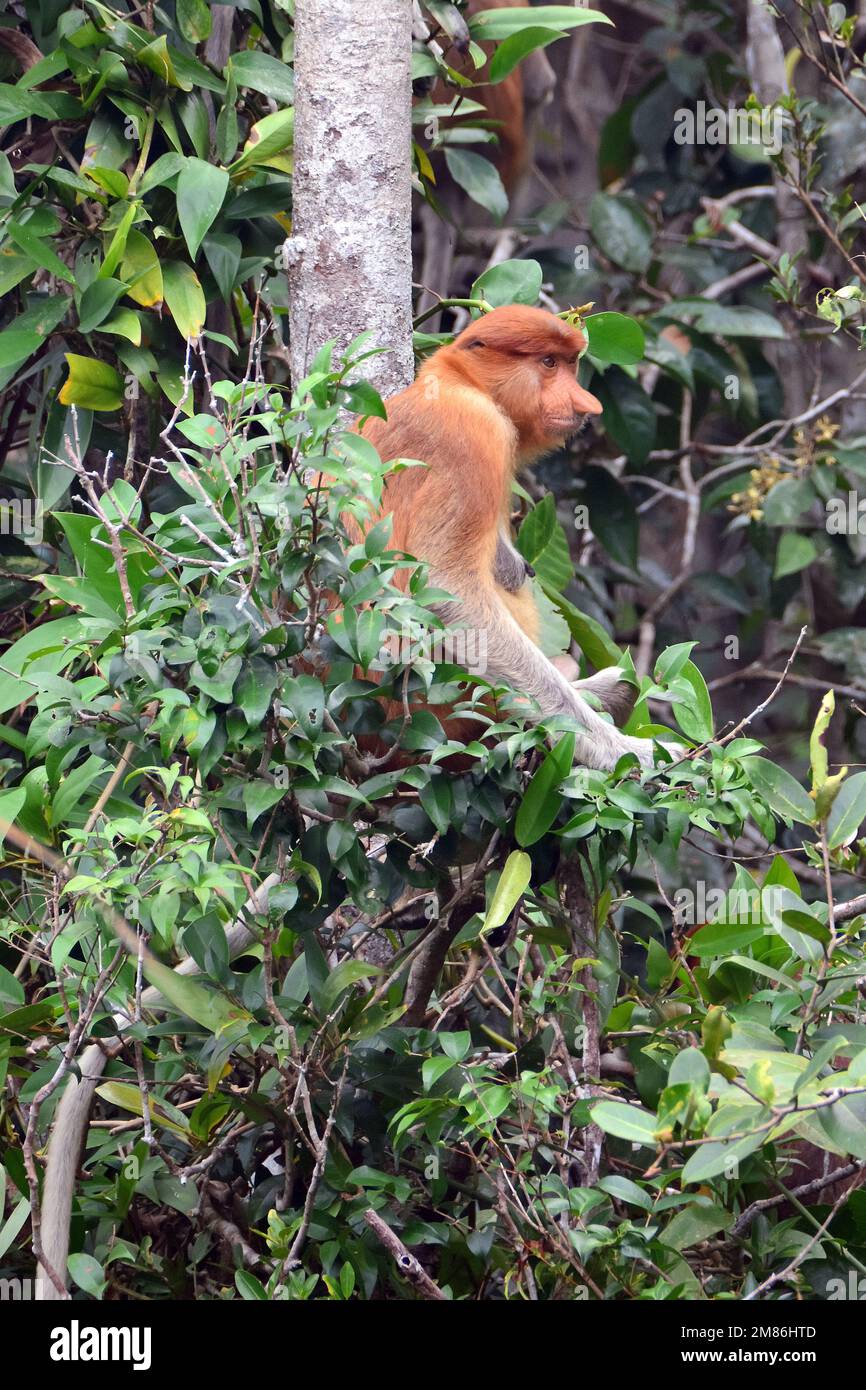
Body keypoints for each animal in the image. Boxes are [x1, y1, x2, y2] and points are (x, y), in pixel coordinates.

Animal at [357, 304, 667, 772]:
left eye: (570, 363)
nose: (587, 404)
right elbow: (450, 596)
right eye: (548, 362)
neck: (460, 380)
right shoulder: (475, 436)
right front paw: (624, 751)